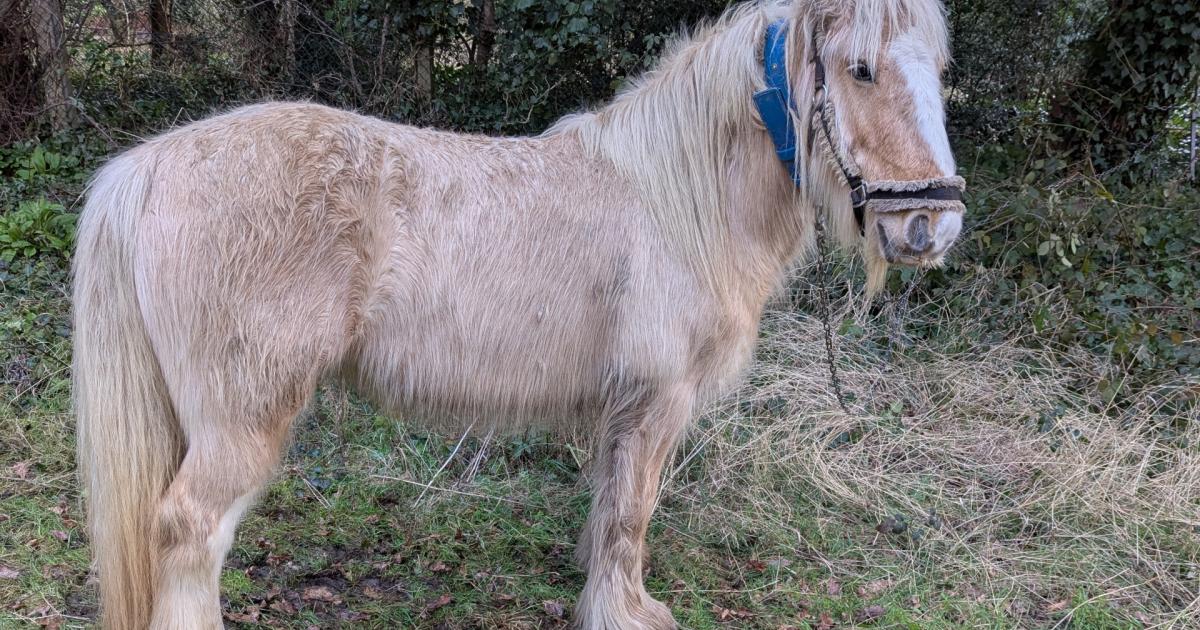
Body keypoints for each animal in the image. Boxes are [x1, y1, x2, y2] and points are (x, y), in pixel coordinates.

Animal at [72, 0, 964, 627]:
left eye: (938, 69)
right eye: (860, 70)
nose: (934, 225)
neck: (675, 196)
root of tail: (149, 166)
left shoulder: (621, 410)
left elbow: (609, 513)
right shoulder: (658, 401)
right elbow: (633, 513)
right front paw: (627, 615)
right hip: (241, 421)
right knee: (190, 532)